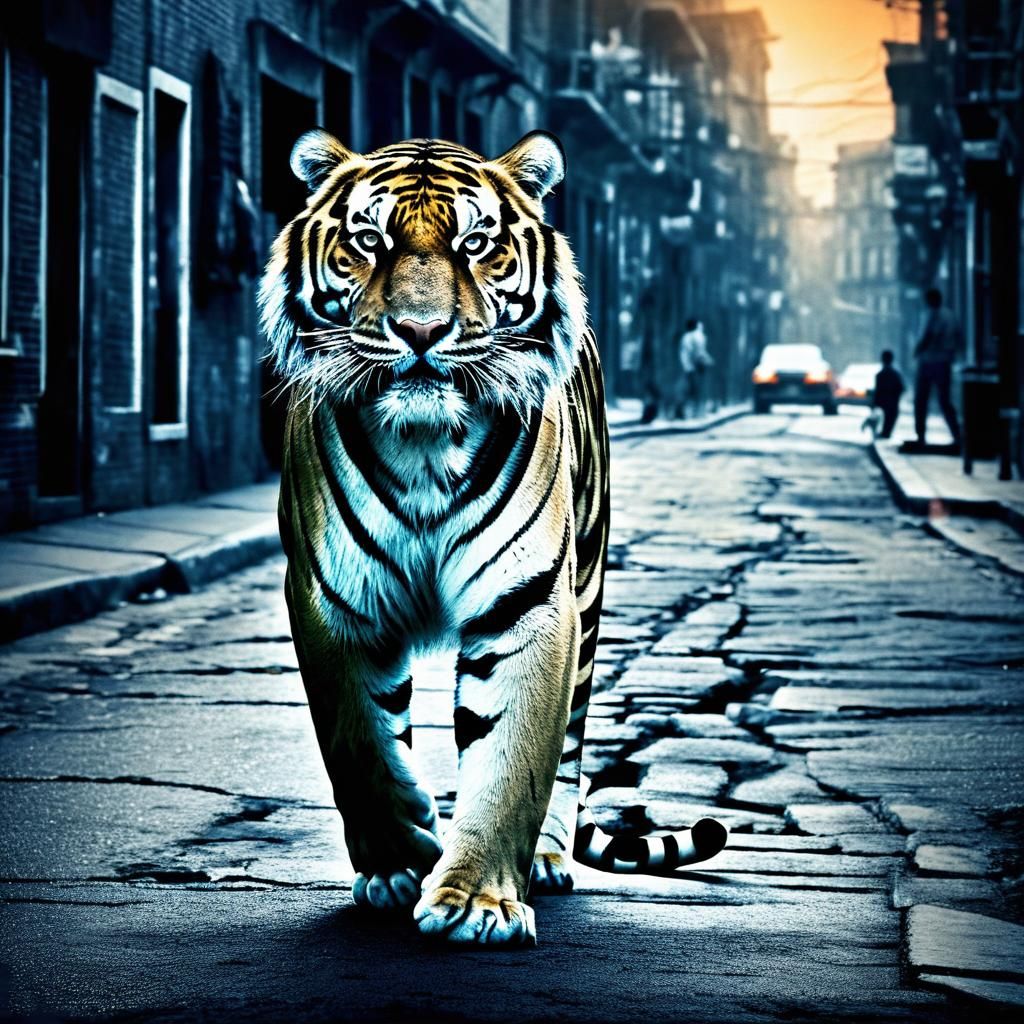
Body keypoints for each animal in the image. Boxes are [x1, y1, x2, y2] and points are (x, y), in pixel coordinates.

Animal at [258, 128, 728, 946]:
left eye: (476, 244)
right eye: (368, 240)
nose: (420, 332)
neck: (422, 441)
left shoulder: (530, 603)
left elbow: (514, 758)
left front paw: (477, 899)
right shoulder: (332, 600)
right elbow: (359, 743)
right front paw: (400, 855)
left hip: (589, 594)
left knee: (569, 747)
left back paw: (546, 858)